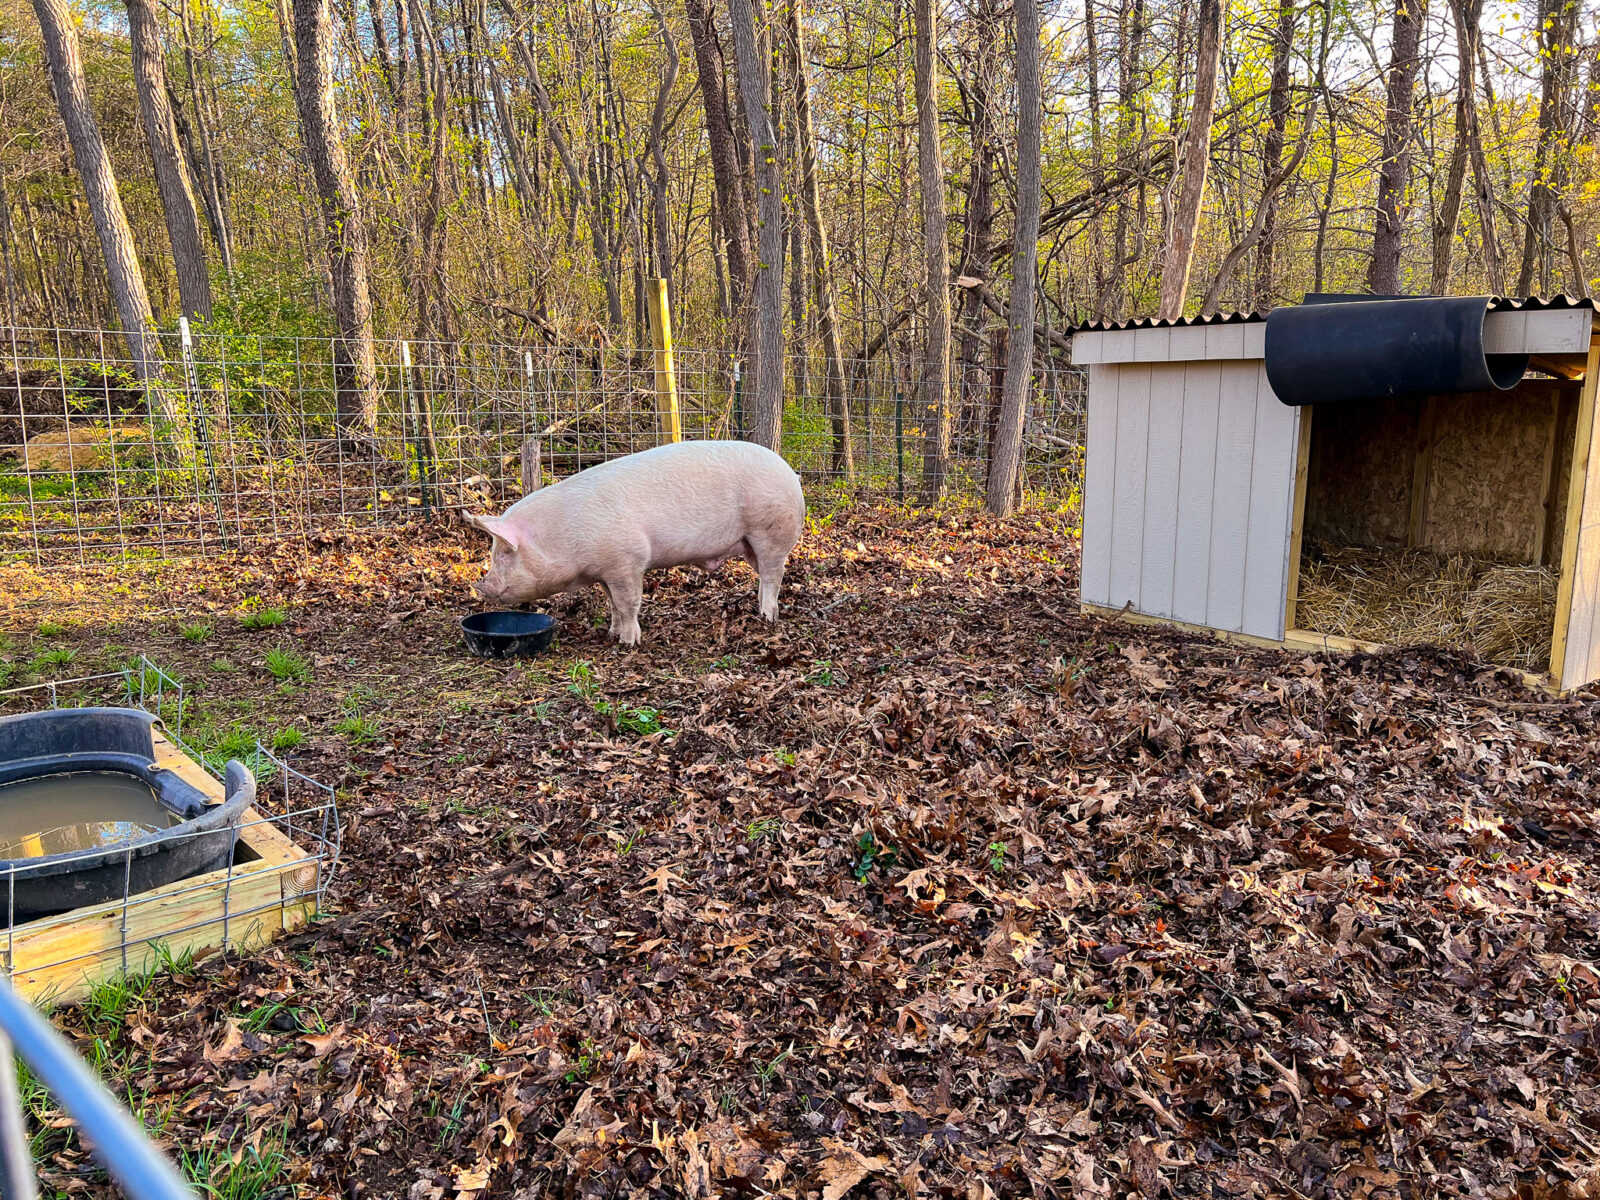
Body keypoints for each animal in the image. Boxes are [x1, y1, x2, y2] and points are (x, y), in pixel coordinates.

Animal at [464, 440, 805, 645]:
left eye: (505, 554)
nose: (481, 586)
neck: (563, 535)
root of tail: (790, 473)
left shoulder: (627, 562)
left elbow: (628, 603)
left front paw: (629, 642)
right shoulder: (605, 572)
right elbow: (612, 604)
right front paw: (611, 634)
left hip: (771, 531)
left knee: (774, 575)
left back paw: (768, 617)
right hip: (749, 543)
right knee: (764, 576)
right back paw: (759, 609)